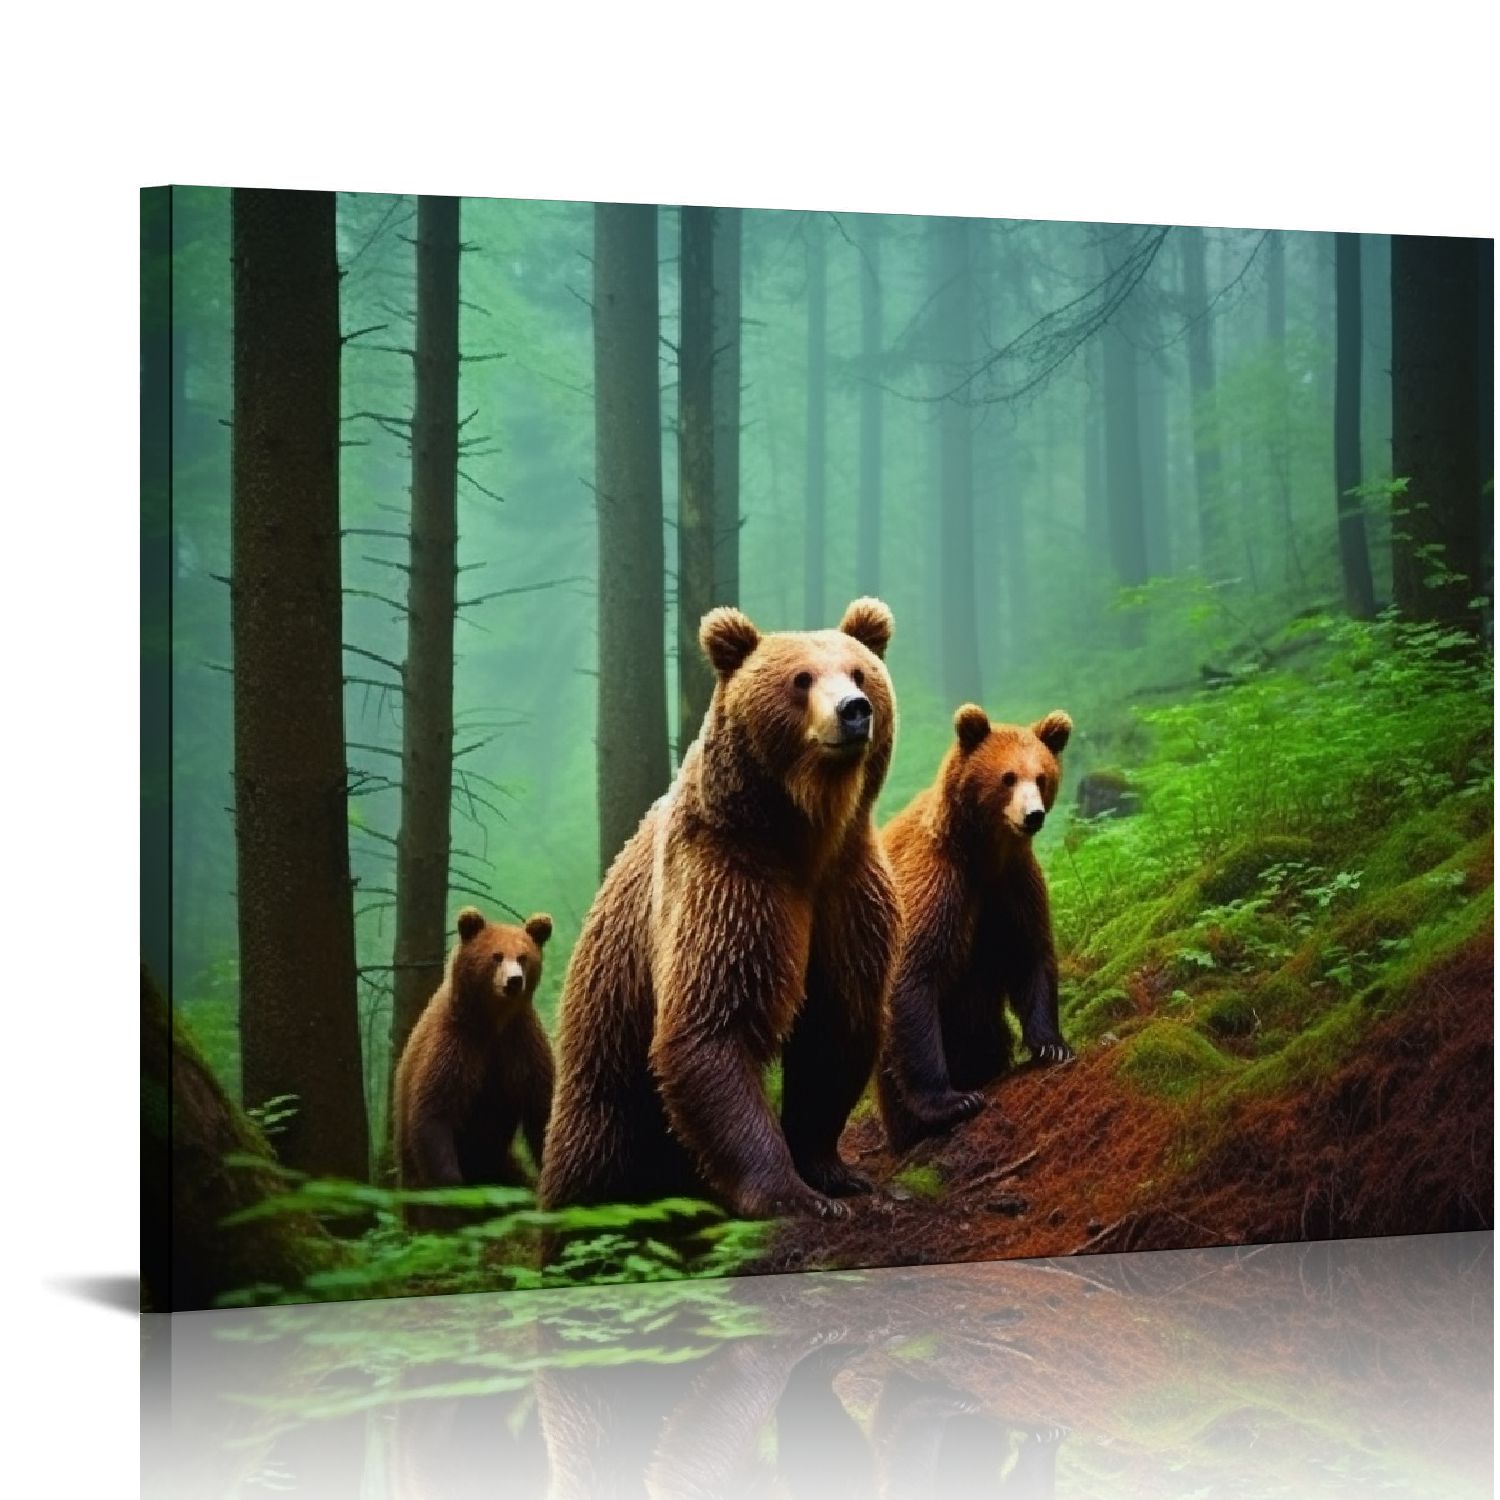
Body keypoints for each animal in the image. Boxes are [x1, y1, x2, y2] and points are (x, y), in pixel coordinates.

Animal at [393, 906, 555, 1228]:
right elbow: (434, 1113)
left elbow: (541, 1109)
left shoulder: (520, 1047)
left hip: (500, 1161)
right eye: (496, 955)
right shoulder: (457, 1046)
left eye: (523, 956)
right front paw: (456, 1191)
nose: (513, 981)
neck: (493, 1023)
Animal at [538, 598, 902, 1222]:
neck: (805, 833)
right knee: (593, 1164)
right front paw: (792, 1194)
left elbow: (839, 1021)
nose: (854, 712)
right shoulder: (729, 882)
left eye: (859, 672)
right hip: (610, 1062)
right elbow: (712, 1026)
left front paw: (835, 1172)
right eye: (800, 679)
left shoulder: (848, 891)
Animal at [876, 705, 1075, 1152]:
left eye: (1042, 776)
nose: (1033, 816)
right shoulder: (938, 885)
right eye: (1008, 777)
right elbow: (913, 976)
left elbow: (1030, 954)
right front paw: (951, 1101)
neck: (984, 854)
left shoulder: (1011, 888)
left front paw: (1052, 1045)